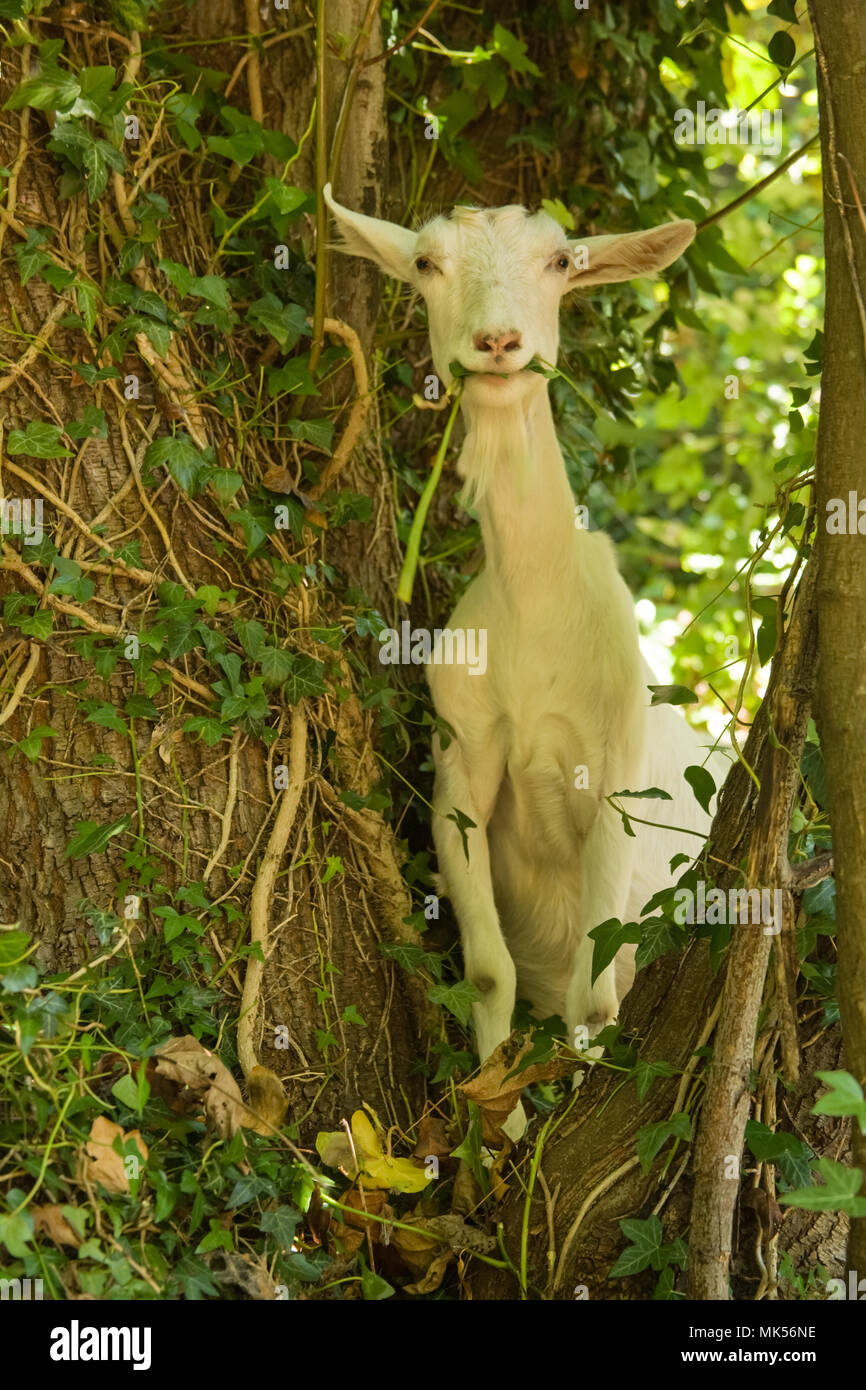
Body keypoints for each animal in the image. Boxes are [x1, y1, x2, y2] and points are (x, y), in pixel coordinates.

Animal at [325, 187, 724, 1137]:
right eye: (425, 263)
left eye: (560, 262)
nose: (499, 342)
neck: (539, 614)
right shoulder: (463, 763)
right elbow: (488, 971)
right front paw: (495, 1127)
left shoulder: (618, 777)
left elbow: (595, 997)